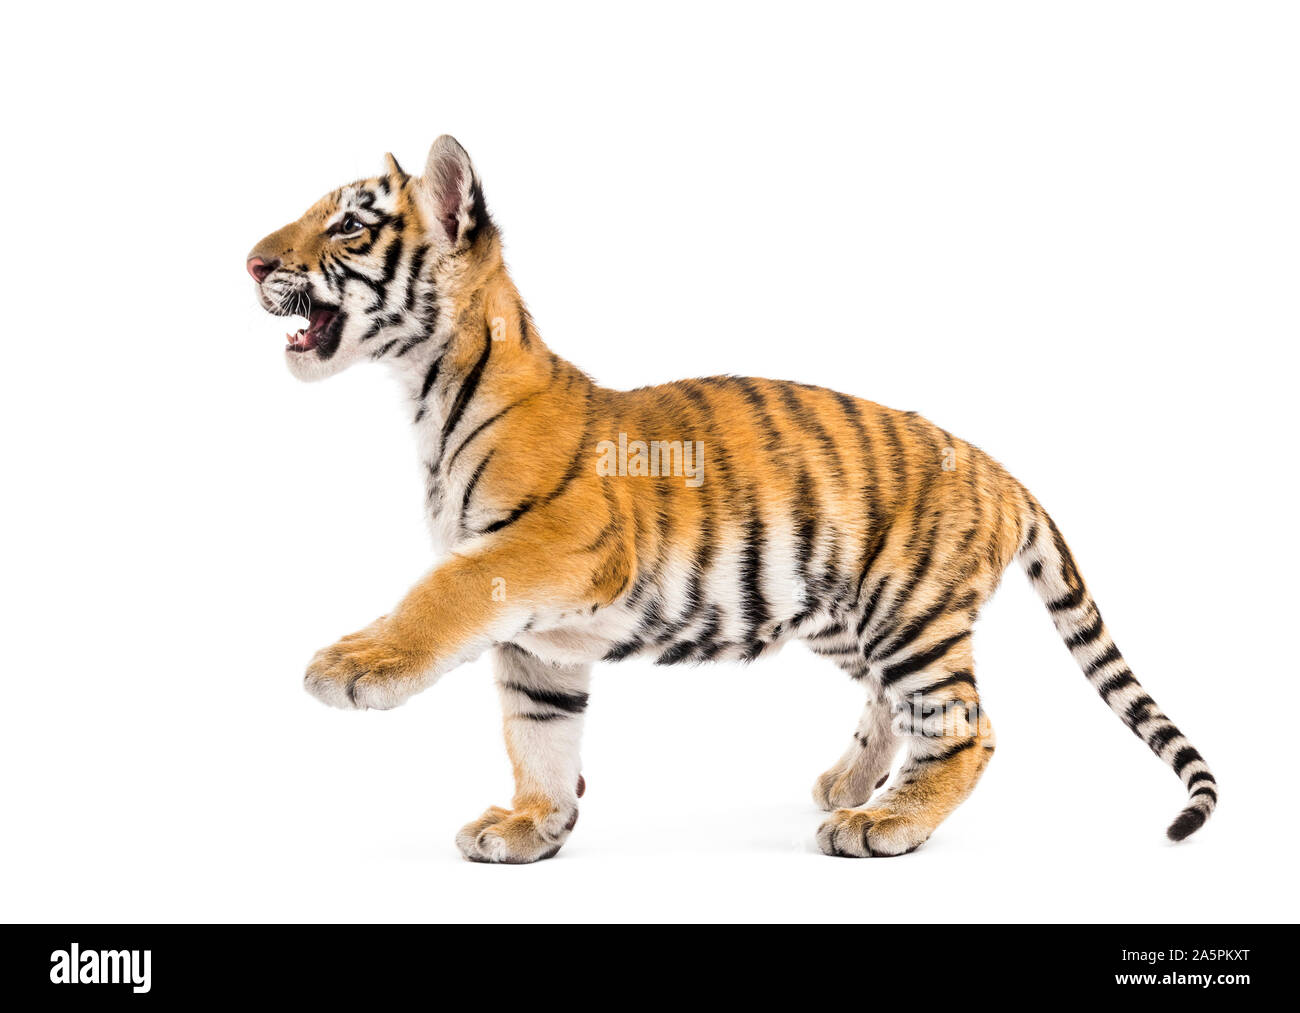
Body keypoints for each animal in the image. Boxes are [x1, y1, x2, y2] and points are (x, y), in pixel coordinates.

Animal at [247, 134, 1216, 862]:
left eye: (347, 225)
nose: (250, 262)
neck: (428, 389)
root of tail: (1001, 468)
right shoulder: (538, 636)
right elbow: (539, 730)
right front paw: (532, 825)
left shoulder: (545, 549)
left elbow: (438, 596)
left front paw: (355, 665)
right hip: (842, 613)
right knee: (893, 702)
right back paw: (852, 783)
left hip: (911, 610)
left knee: (963, 725)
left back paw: (886, 821)